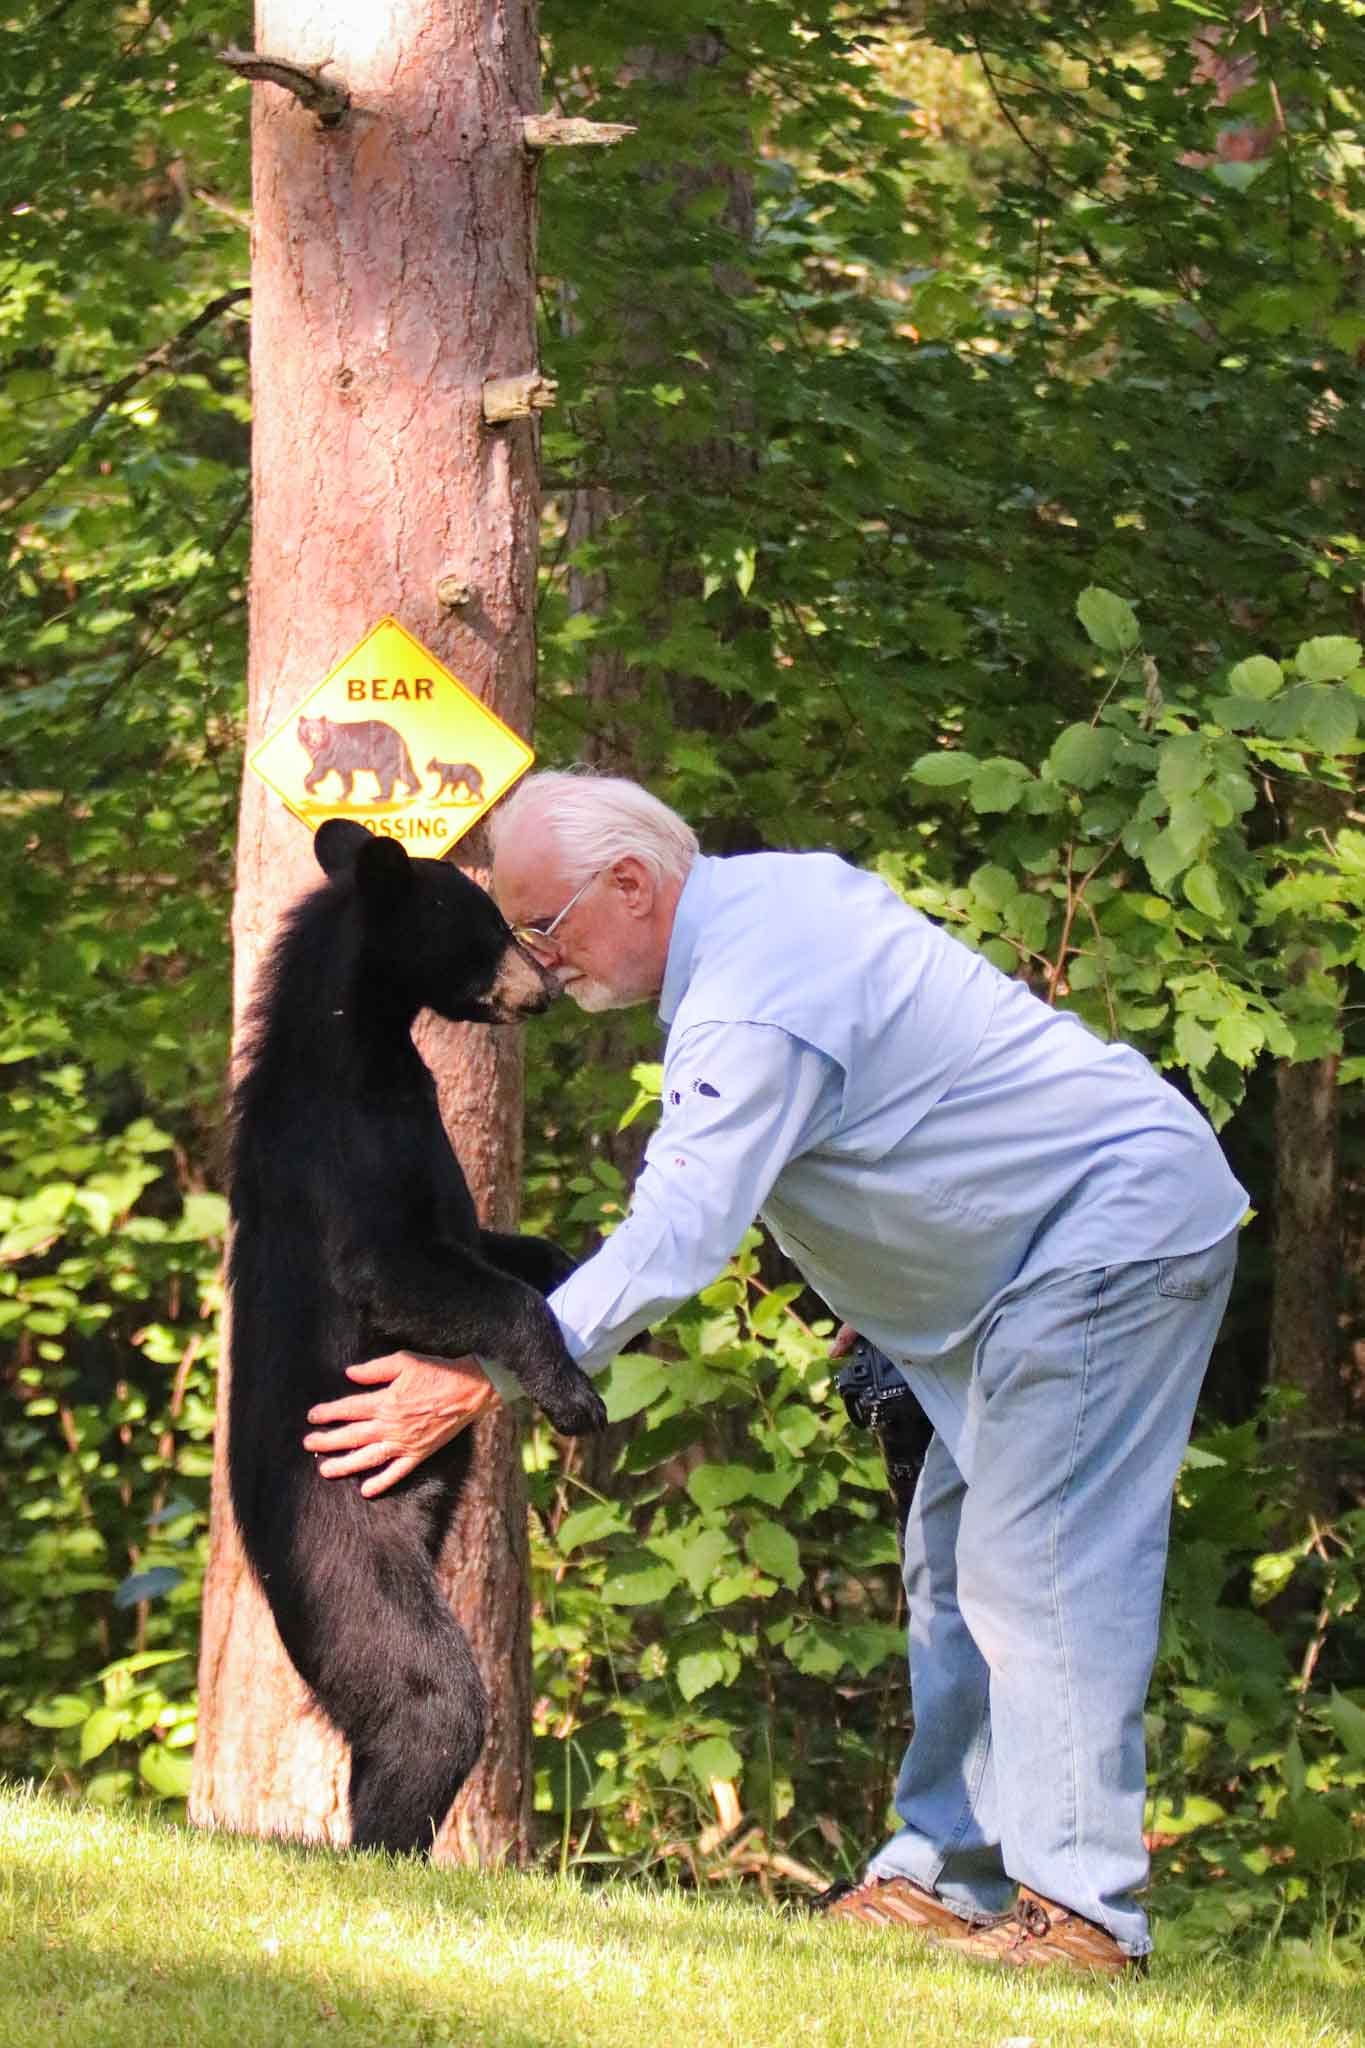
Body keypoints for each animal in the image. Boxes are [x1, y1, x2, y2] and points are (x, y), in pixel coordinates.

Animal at [226, 818, 606, 1856]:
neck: (362, 1042)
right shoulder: (344, 1155)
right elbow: (400, 1271)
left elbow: (492, 1246)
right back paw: (393, 1853)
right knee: (426, 1702)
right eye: (486, 927)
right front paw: (574, 1394)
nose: (544, 990)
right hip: (344, 1553)